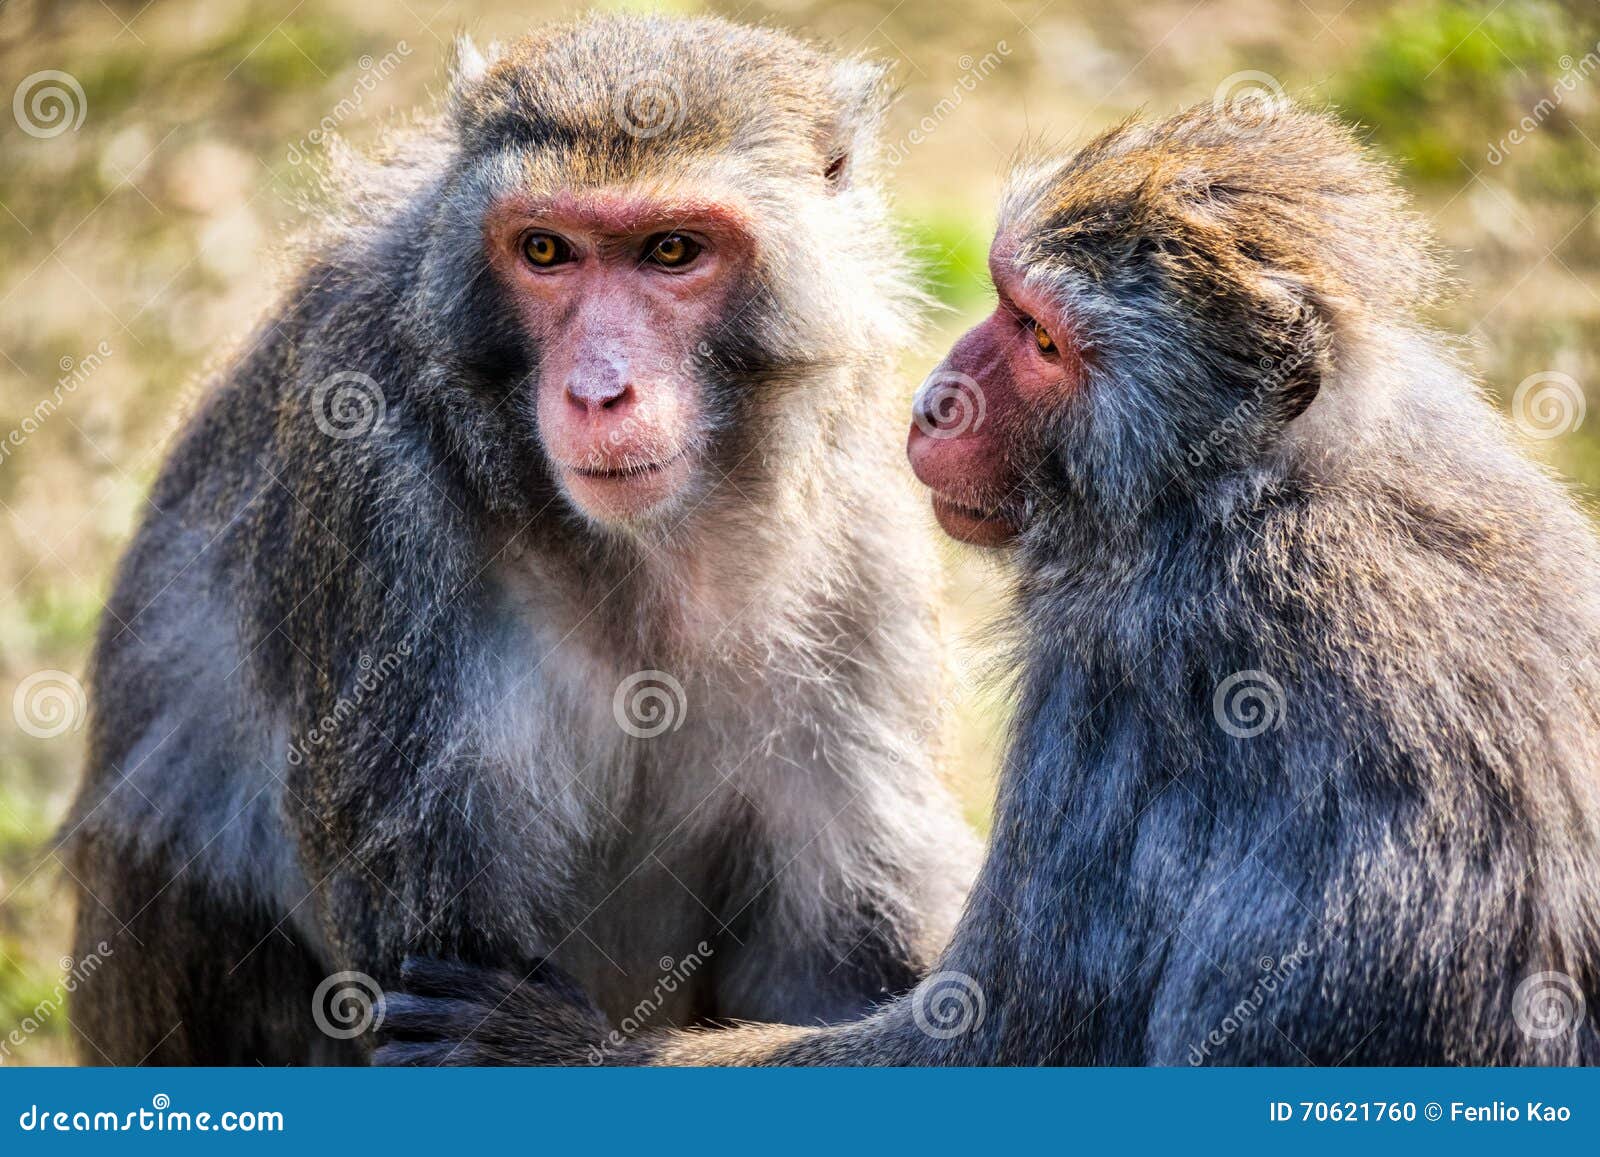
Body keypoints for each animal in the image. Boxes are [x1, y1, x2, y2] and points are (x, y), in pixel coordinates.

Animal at [60, 13, 979, 1066]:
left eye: (673, 251)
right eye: (546, 249)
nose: (596, 391)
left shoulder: (857, 526)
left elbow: (837, 973)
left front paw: (528, 1039)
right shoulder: (373, 490)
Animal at [376, 97, 1600, 1066]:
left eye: (1044, 342)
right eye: (1008, 301)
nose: (936, 398)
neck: (1245, 487)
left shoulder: (1127, 674)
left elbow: (992, 1040)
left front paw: (542, 1046)